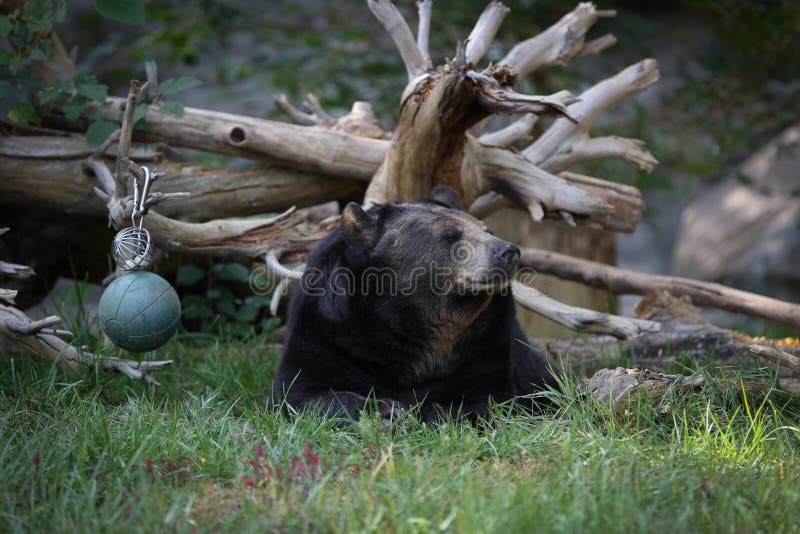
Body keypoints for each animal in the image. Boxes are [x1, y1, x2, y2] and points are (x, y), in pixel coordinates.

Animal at [273, 185, 557, 422]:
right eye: (450, 235)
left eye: (487, 230)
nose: (508, 252)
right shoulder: (330, 335)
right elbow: (302, 392)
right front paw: (385, 408)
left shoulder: (486, 345)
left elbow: (490, 398)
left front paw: (436, 412)